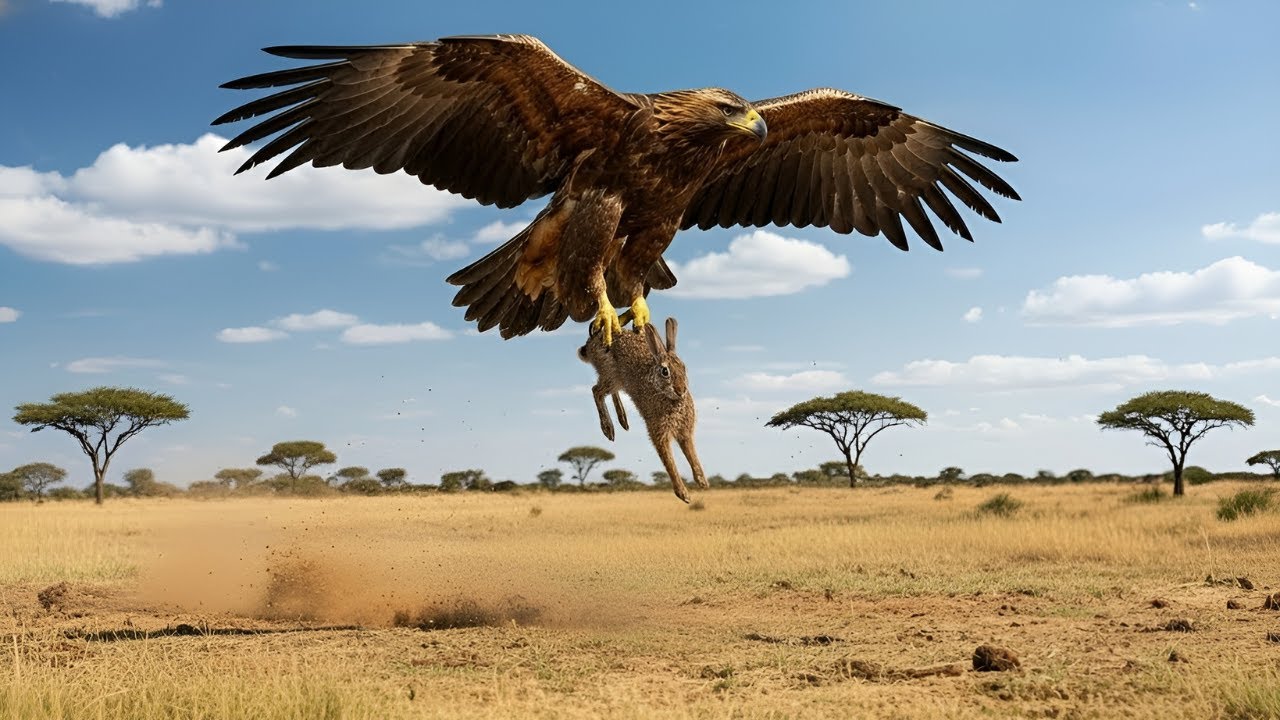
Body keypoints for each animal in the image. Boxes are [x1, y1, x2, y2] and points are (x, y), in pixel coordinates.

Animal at [577, 317, 707, 503]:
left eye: (684, 368)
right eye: (665, 371)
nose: (681, 390)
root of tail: (591, 343)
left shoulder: (685, 432)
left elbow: (691, 454)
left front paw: (702, 482)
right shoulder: (658, 432)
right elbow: (668, 461)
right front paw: (684, 494)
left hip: (618, 379)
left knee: (608, 392)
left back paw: (623, 419)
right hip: (612, 374)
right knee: (597, 391)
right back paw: (609, 428)